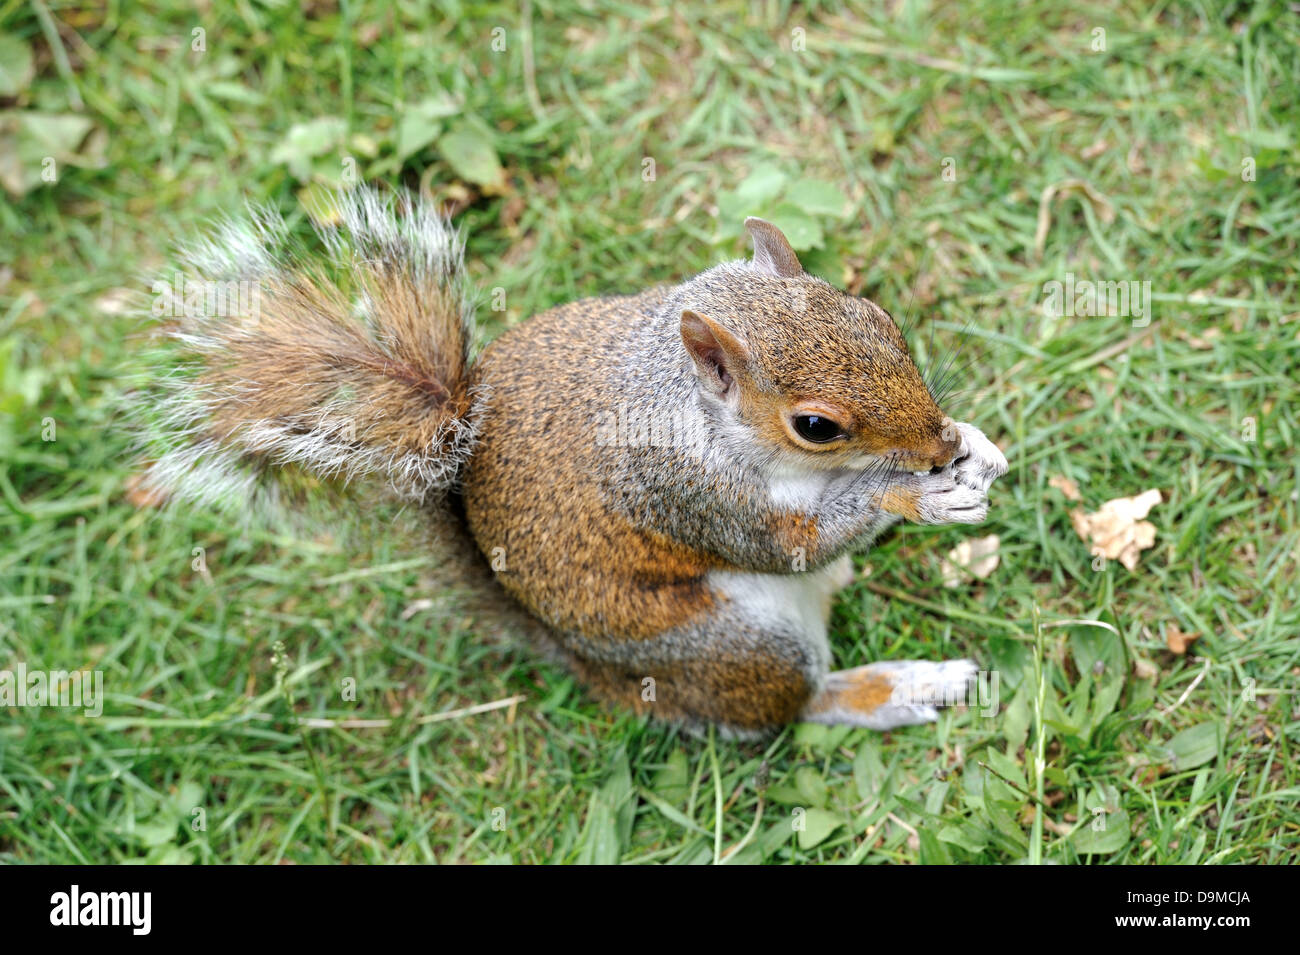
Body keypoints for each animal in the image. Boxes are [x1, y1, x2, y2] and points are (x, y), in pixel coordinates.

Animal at [135, 188, 1008, 737]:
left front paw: (973, 444)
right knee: (790, 706)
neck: (692, 403)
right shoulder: (689, 491)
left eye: (878, 319)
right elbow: (793, 542)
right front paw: (916, 495)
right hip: (737, 644)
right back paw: (895, 687)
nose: (934, 448)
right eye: (816, 425)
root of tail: (586, 666)